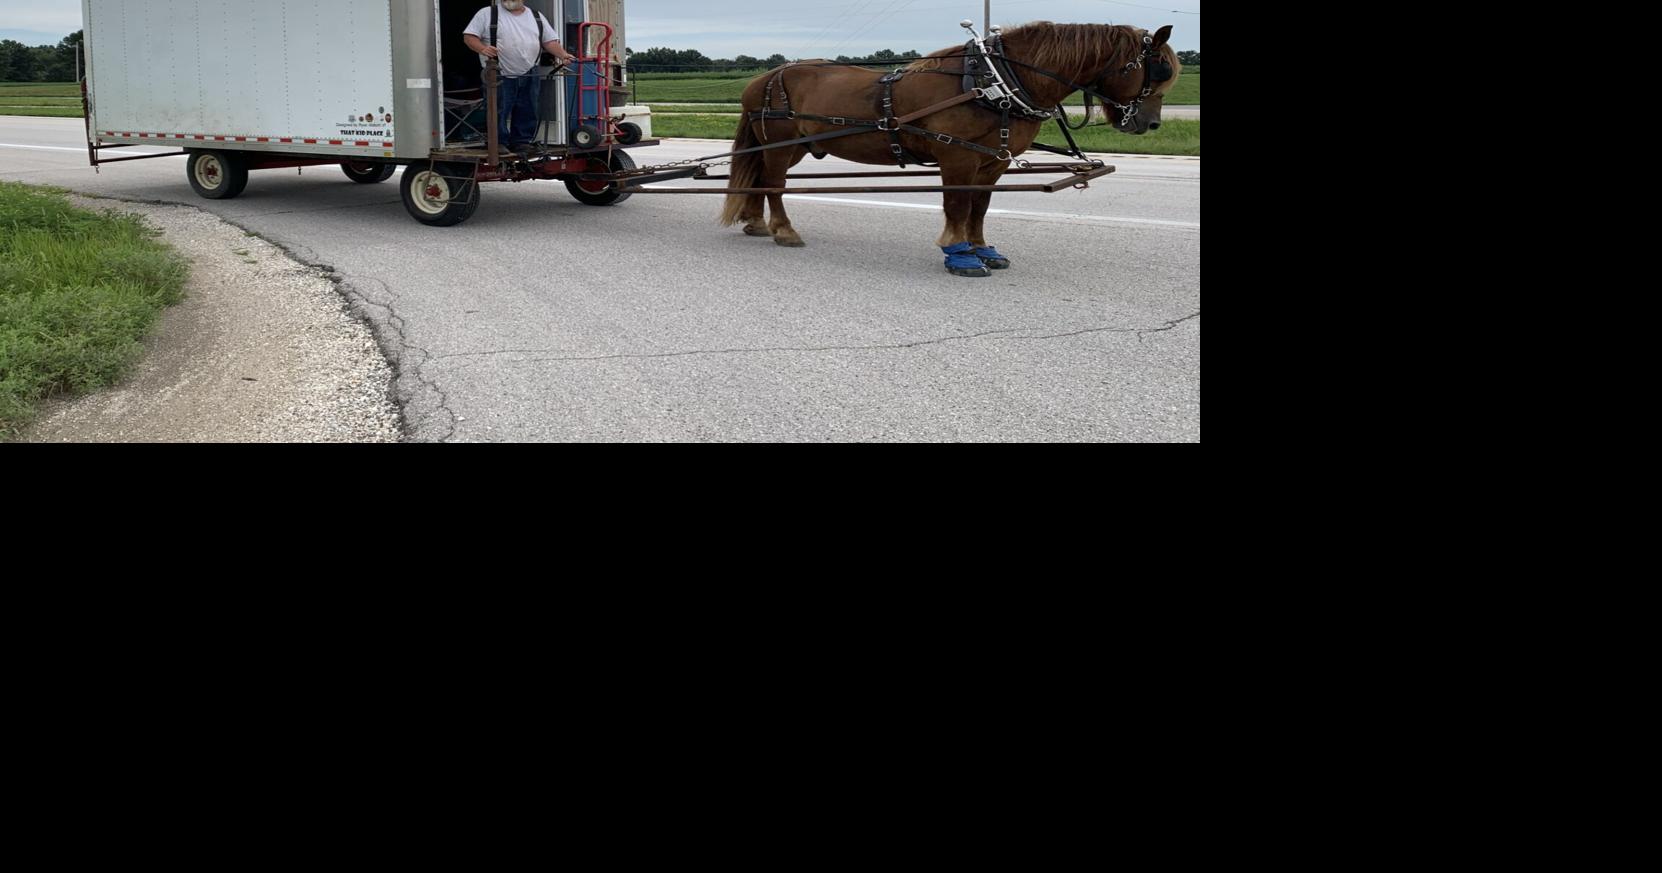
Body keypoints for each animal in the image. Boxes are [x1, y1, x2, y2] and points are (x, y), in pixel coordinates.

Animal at [718, 21, 1182, 277]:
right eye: (1157, 70)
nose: (1149, 123)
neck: (992, 82)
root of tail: (763, 78)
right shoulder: (956, 156)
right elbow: (957, 205)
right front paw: (959, 255)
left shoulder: (993, 161)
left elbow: (979, 206)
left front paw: (981, 249)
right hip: (779, 144)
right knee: (774, 185)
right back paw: (783, 230)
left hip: (794, 145)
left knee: (760, 180)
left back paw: (756, 224)